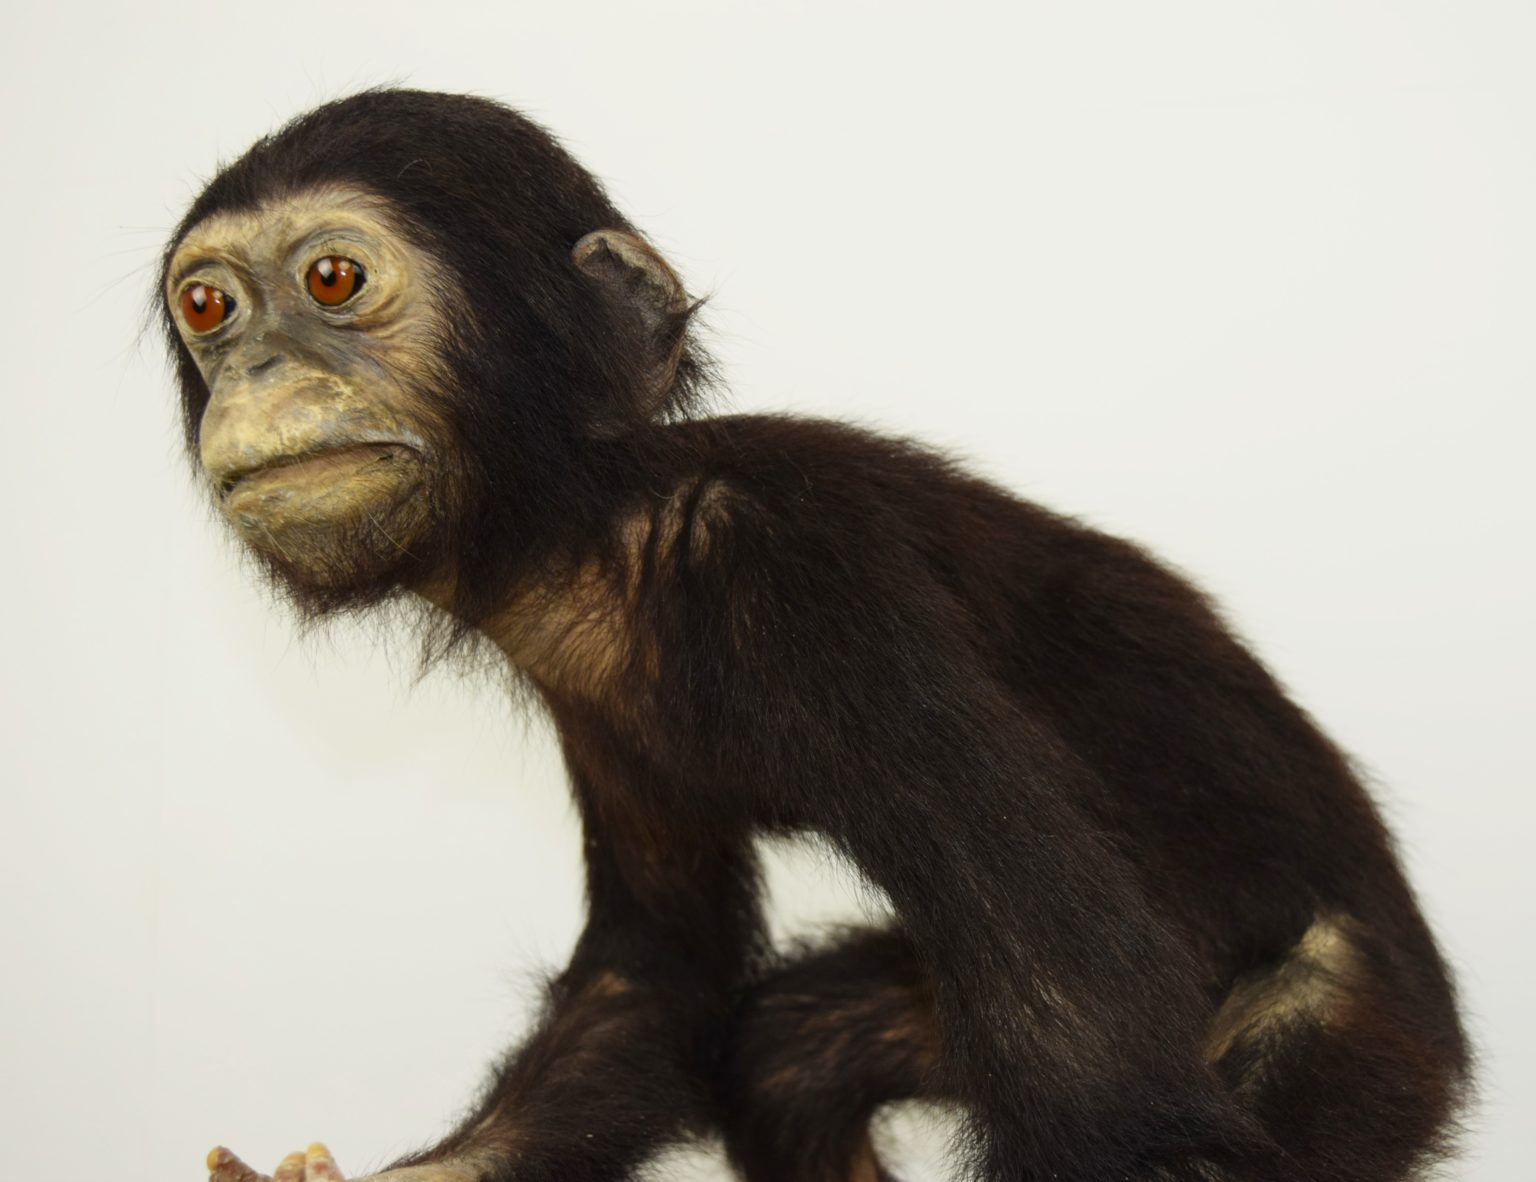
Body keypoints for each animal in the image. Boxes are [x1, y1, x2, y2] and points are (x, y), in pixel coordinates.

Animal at [160, 90, 1470, 1182]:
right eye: (210, 306)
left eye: (333, 276)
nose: (256, 366)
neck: (599, 533)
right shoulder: (588, 695)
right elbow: (659, 974)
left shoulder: (800, 572)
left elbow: (1079, 1029)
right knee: (789, 1056)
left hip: (1351, 1034)